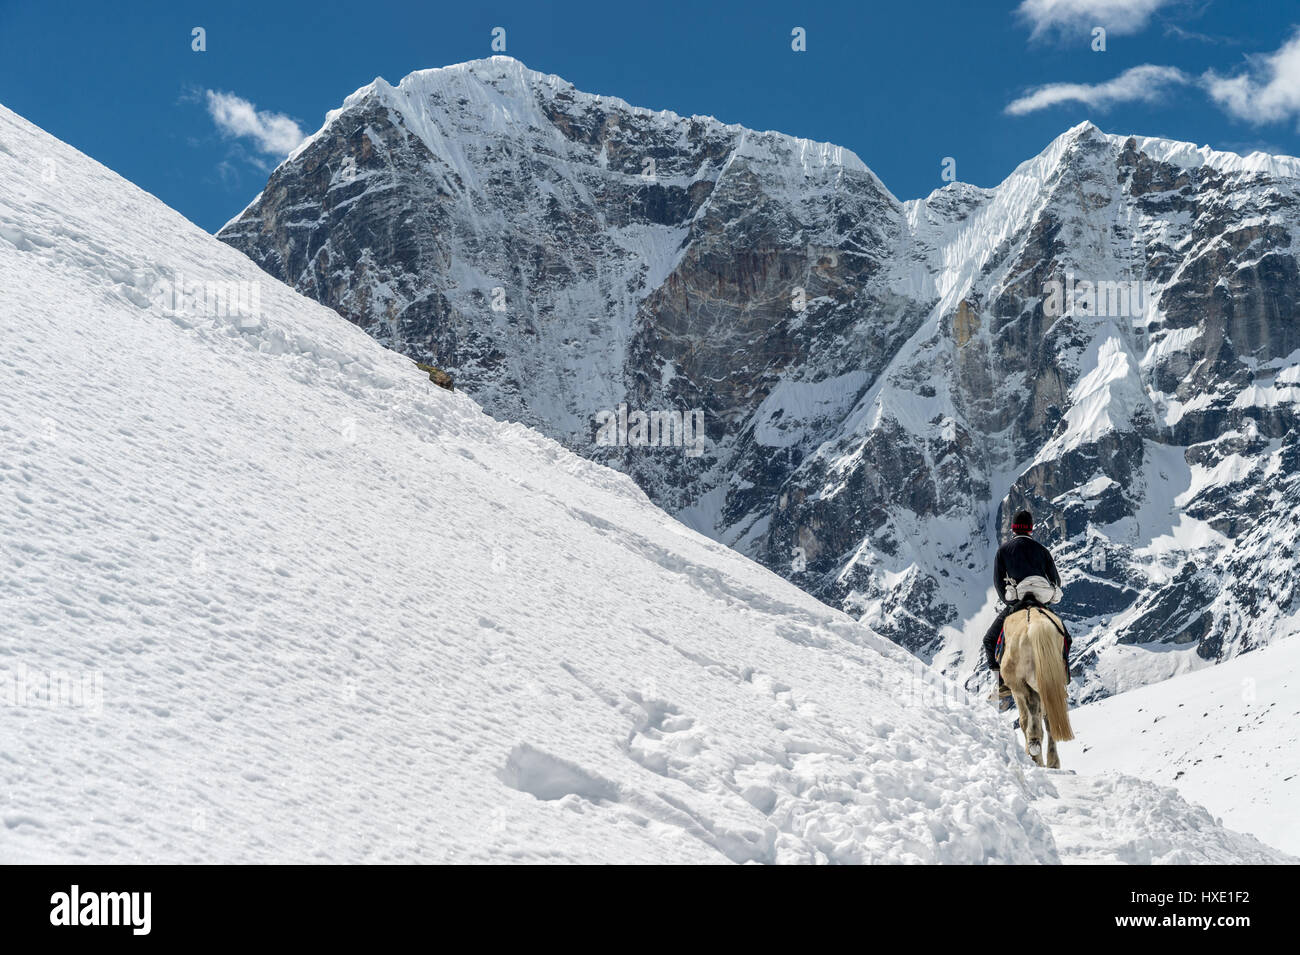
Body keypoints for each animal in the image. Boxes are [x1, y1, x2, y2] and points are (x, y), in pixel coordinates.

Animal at [999, 604, 1074, 768]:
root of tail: (1037, 623)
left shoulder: (1017, 690)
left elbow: (1024, 720)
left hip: (1021, 684)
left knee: (1032, 709)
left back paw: (1034, 747)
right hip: (1048, 684)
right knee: (1049, 718)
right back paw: (1052, 762)